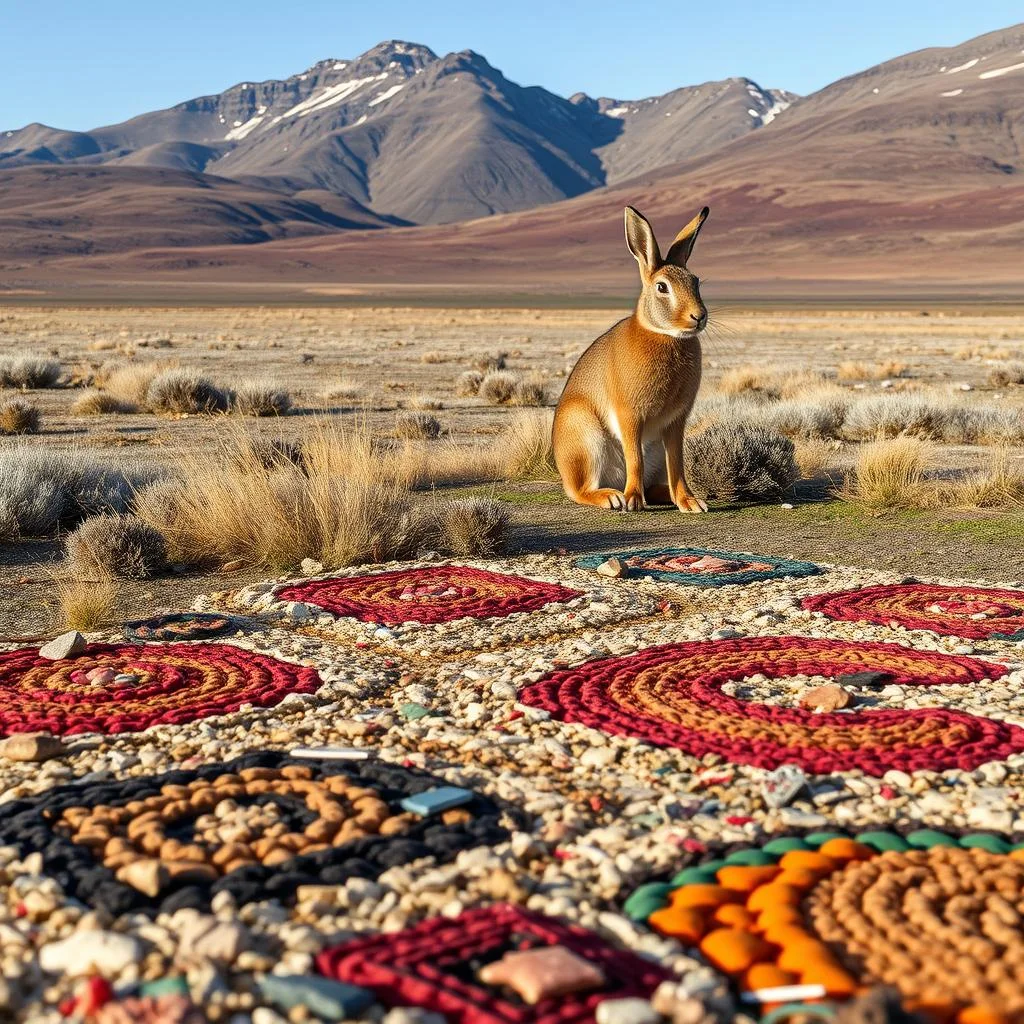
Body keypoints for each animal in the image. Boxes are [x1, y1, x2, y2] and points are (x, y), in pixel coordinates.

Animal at [552, 204, 710, 513]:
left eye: (696, 282)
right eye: (662, 287)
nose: (698, 316)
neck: (663, 333)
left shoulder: (676, 423)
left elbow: (677, 463)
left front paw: (690, 502)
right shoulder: (629, 415)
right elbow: (634, 457)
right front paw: (633, 501)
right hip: (586, 436)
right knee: (580, 489)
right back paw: (614, 497)